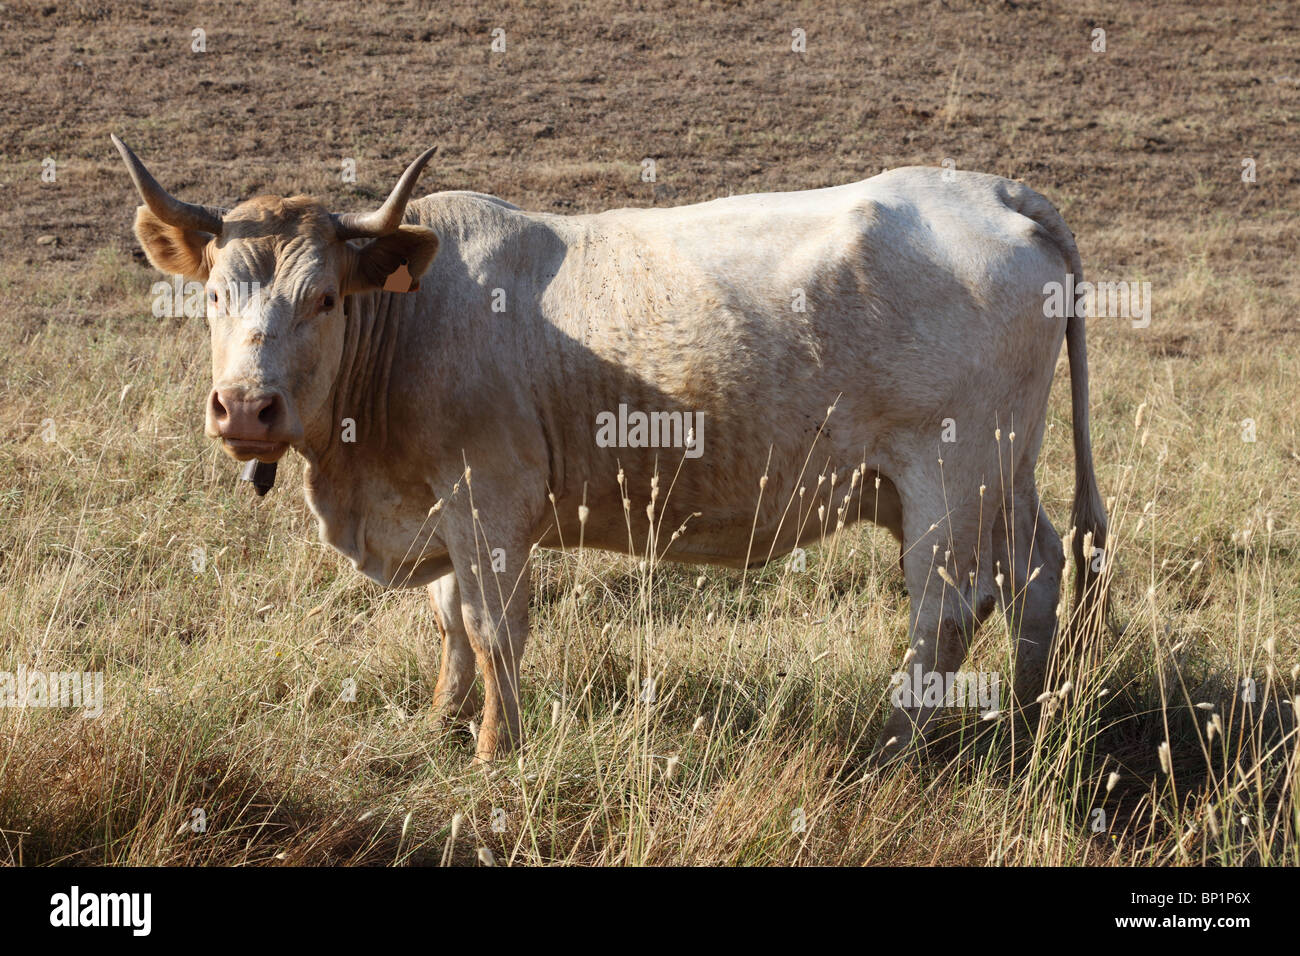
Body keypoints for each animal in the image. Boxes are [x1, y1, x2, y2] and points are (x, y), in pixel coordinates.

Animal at [113, 135, 1107, 764]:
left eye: (324, 299)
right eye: (212, 295)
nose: (248, 407)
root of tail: (991, 190)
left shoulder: (490, 498)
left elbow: (494, 628)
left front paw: (494, 751)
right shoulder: (437, 504)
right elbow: (449, 624)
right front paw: (440, 724)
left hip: (950, 475)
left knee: (947, 612)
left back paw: (894, 747)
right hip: (1000, 472)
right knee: (1038, 572)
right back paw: (1028, 724)